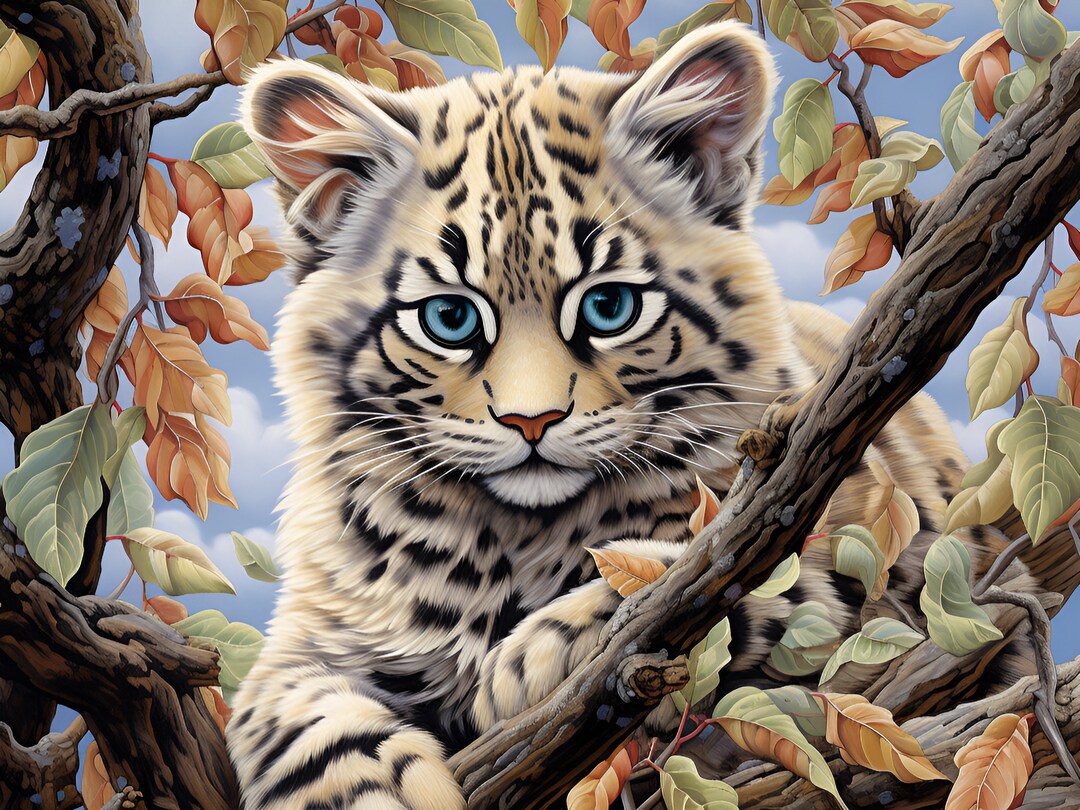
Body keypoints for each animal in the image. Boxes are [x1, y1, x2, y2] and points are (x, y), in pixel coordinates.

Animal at [226, 21, 1034, 809]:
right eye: (450, 318)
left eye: (608, 306)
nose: (531, 422)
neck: (514, 546)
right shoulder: (313, 641)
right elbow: (299, 720)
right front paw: (390, 787)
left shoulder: (854, 559)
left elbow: (733, 581)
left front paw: (539, 657)